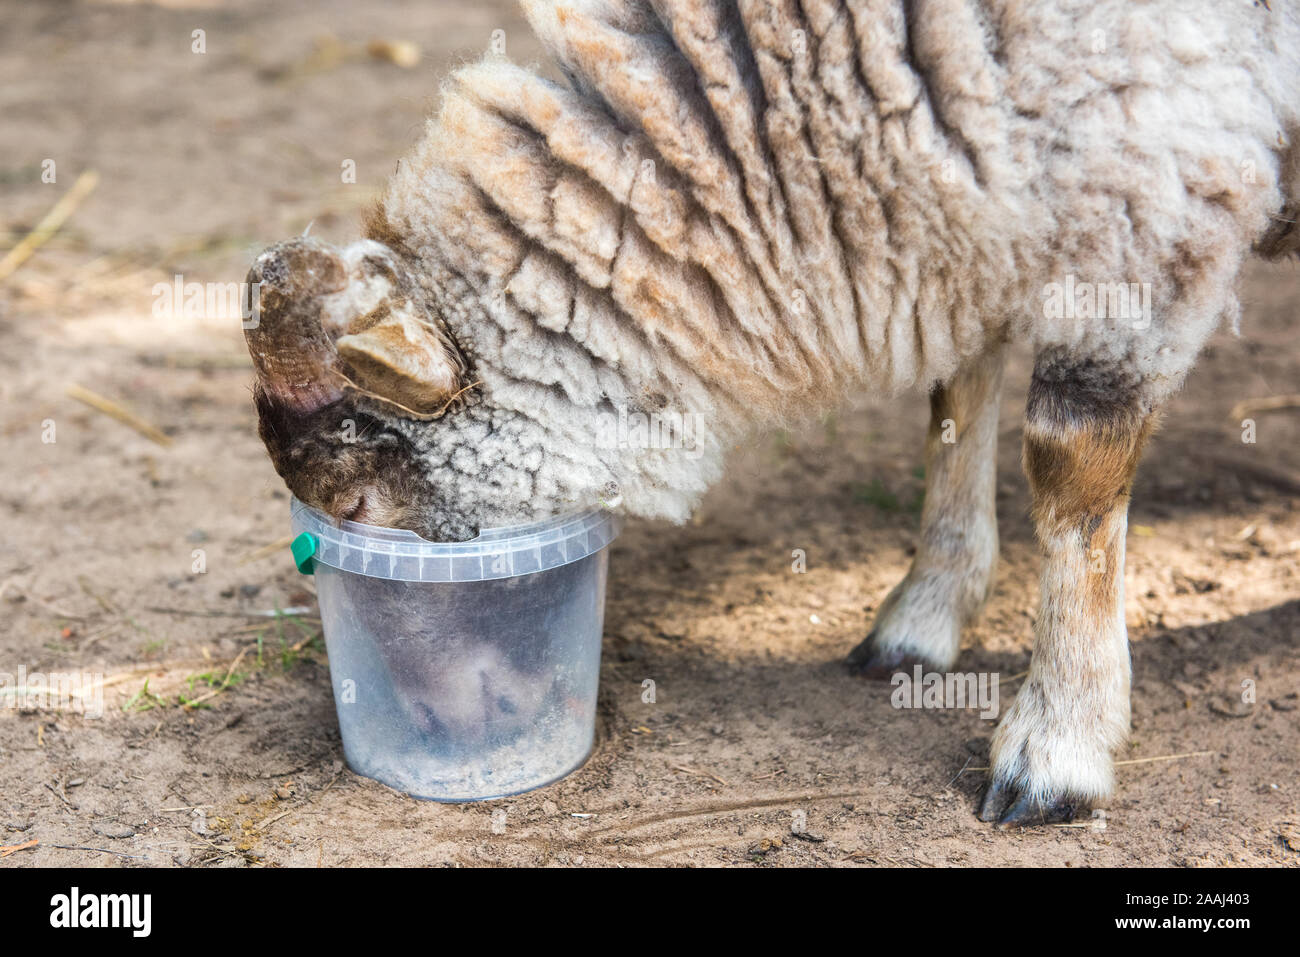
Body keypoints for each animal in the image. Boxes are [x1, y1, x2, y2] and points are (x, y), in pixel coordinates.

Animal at [243, 0, 1300, 827]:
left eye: (360, 511)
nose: (425, 726)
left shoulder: (1146, 201)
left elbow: (1071, 467)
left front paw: (1056, 752)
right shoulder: (987, 206)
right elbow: (956, 399)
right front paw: (921, 616)